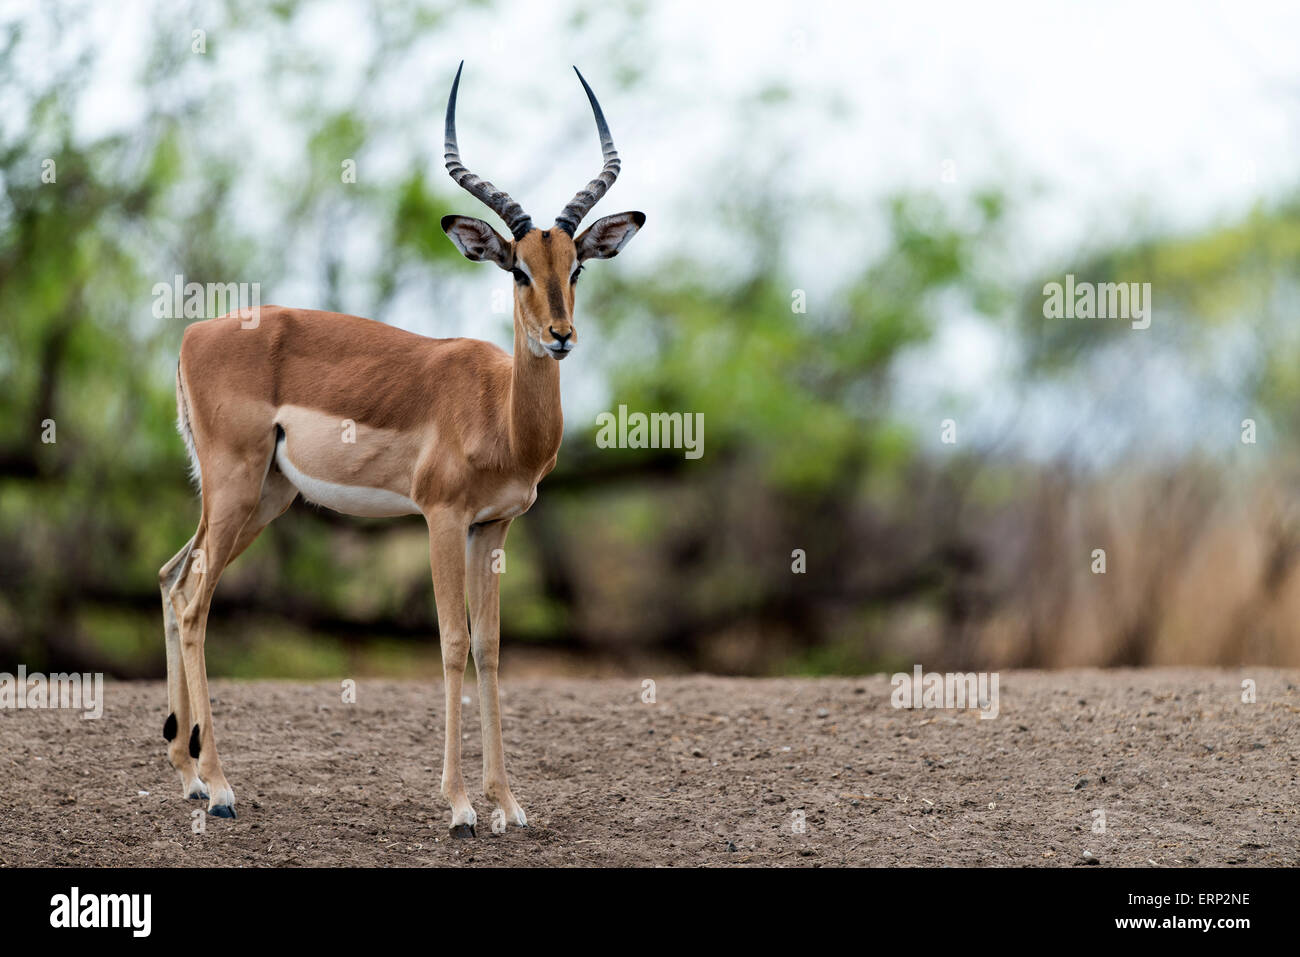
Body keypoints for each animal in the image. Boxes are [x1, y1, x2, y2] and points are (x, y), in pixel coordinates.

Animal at [157, 62, 644, 836]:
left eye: (576, 267)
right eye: (517, 269)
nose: (561, 336)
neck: (500, 408)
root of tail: (193, 335)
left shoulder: (493, 527)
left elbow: (490, 648)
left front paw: (509, 804)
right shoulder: (441, 518)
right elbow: (449, 643)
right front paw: (461, 807)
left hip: (261, 496)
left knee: (173, 577)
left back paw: (190, 779)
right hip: (234, 488)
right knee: (194, 603)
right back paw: (222, 788)